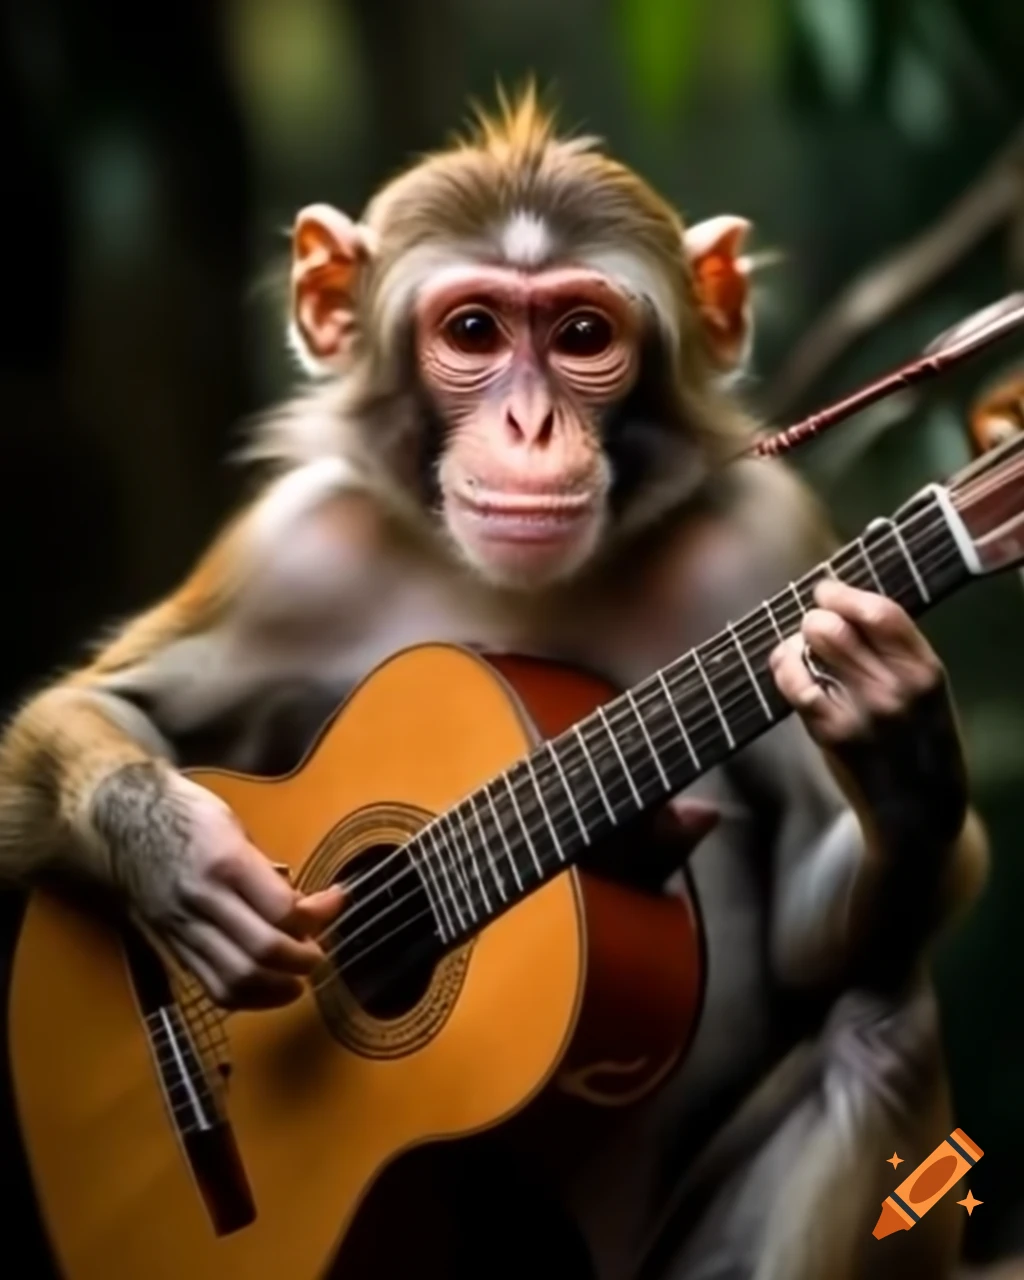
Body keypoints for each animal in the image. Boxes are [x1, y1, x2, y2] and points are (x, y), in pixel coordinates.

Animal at [0, 87, 988, 1280]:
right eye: (473, 332)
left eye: (582, 337)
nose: (530, 423)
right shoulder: (296, 547)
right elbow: (92, 710)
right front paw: (192, 874)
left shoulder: (762, 544)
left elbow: (814, 934)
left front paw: (893, 737)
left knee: (872, 1028)